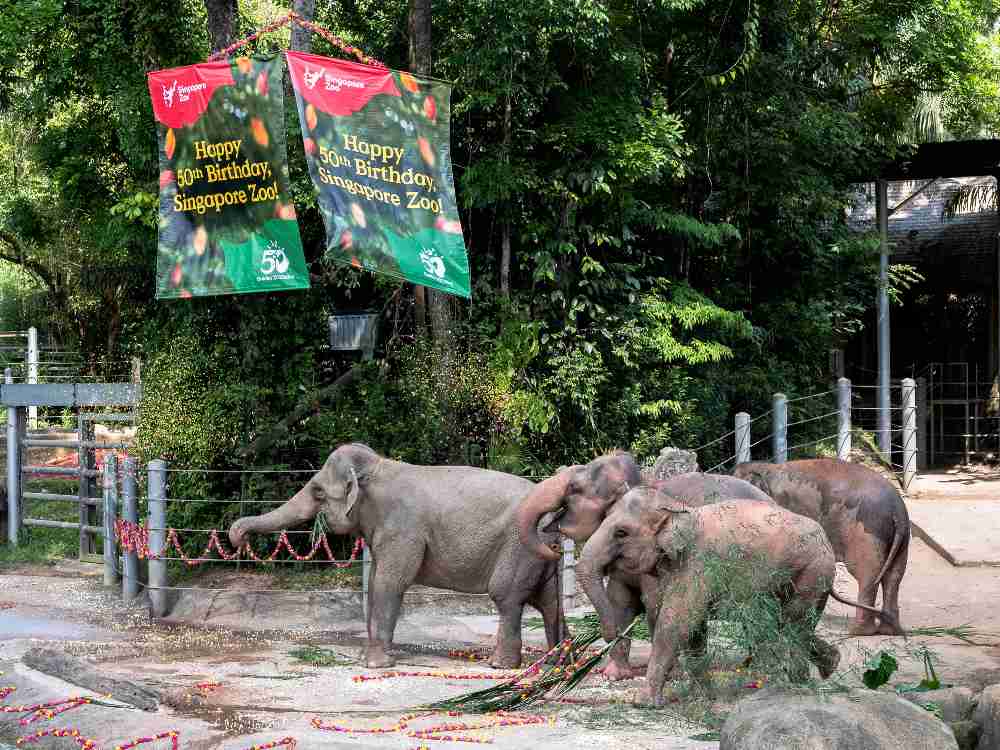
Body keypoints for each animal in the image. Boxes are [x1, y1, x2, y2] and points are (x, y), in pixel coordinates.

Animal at [228, 443, 566, 669]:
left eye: (318, 492)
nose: (236, 536)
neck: (379, 467)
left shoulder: (402, 530)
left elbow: (389, 584)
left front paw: (375, 665)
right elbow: (377, 580)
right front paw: (371, 657)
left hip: (520, 546)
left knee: (506, 597)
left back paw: (500, 665)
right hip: (539, 552)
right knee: (548, 600)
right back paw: (558, 660)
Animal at [576, 487, 895, 706]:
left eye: (621, 532)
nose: (612, 634)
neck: (681, 509)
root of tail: (827, 542)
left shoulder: (699, 564)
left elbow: (677, 621)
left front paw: (643, 702)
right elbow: (694, 627)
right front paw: (703, 696)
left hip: (812, 571)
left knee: (793, 624)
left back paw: (796, 685)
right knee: (786, 623)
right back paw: (828, 667)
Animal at [732, 458, 909, 636]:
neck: (765, 467)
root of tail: (897, 510)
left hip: (866, 534)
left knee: (868, 575)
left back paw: (857, 632)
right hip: (902, 537)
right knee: (894, 576)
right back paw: (890, 630)